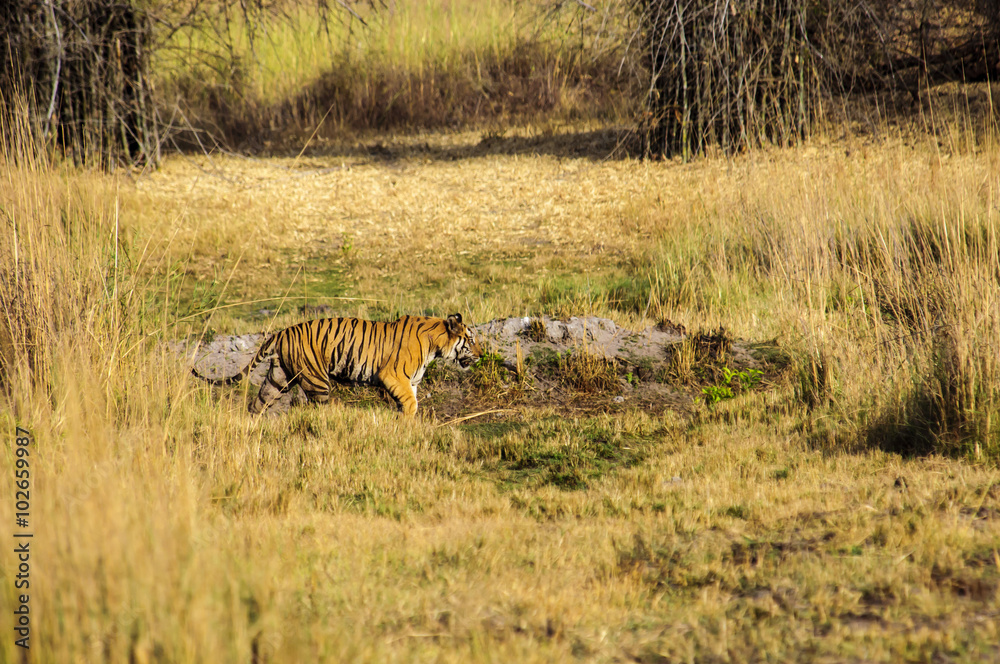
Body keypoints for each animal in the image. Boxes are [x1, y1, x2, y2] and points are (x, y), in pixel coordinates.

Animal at [191, 313, 483, 416]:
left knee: (258, 403)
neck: (436, 344)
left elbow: (410, 403)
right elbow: (411, 405)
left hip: (279, 377)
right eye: (471, 339)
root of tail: (281, 332)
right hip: (317, 381)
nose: (482, 354)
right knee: (317, 411)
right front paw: (407, 426)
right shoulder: (393, 376)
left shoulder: (411, 382)